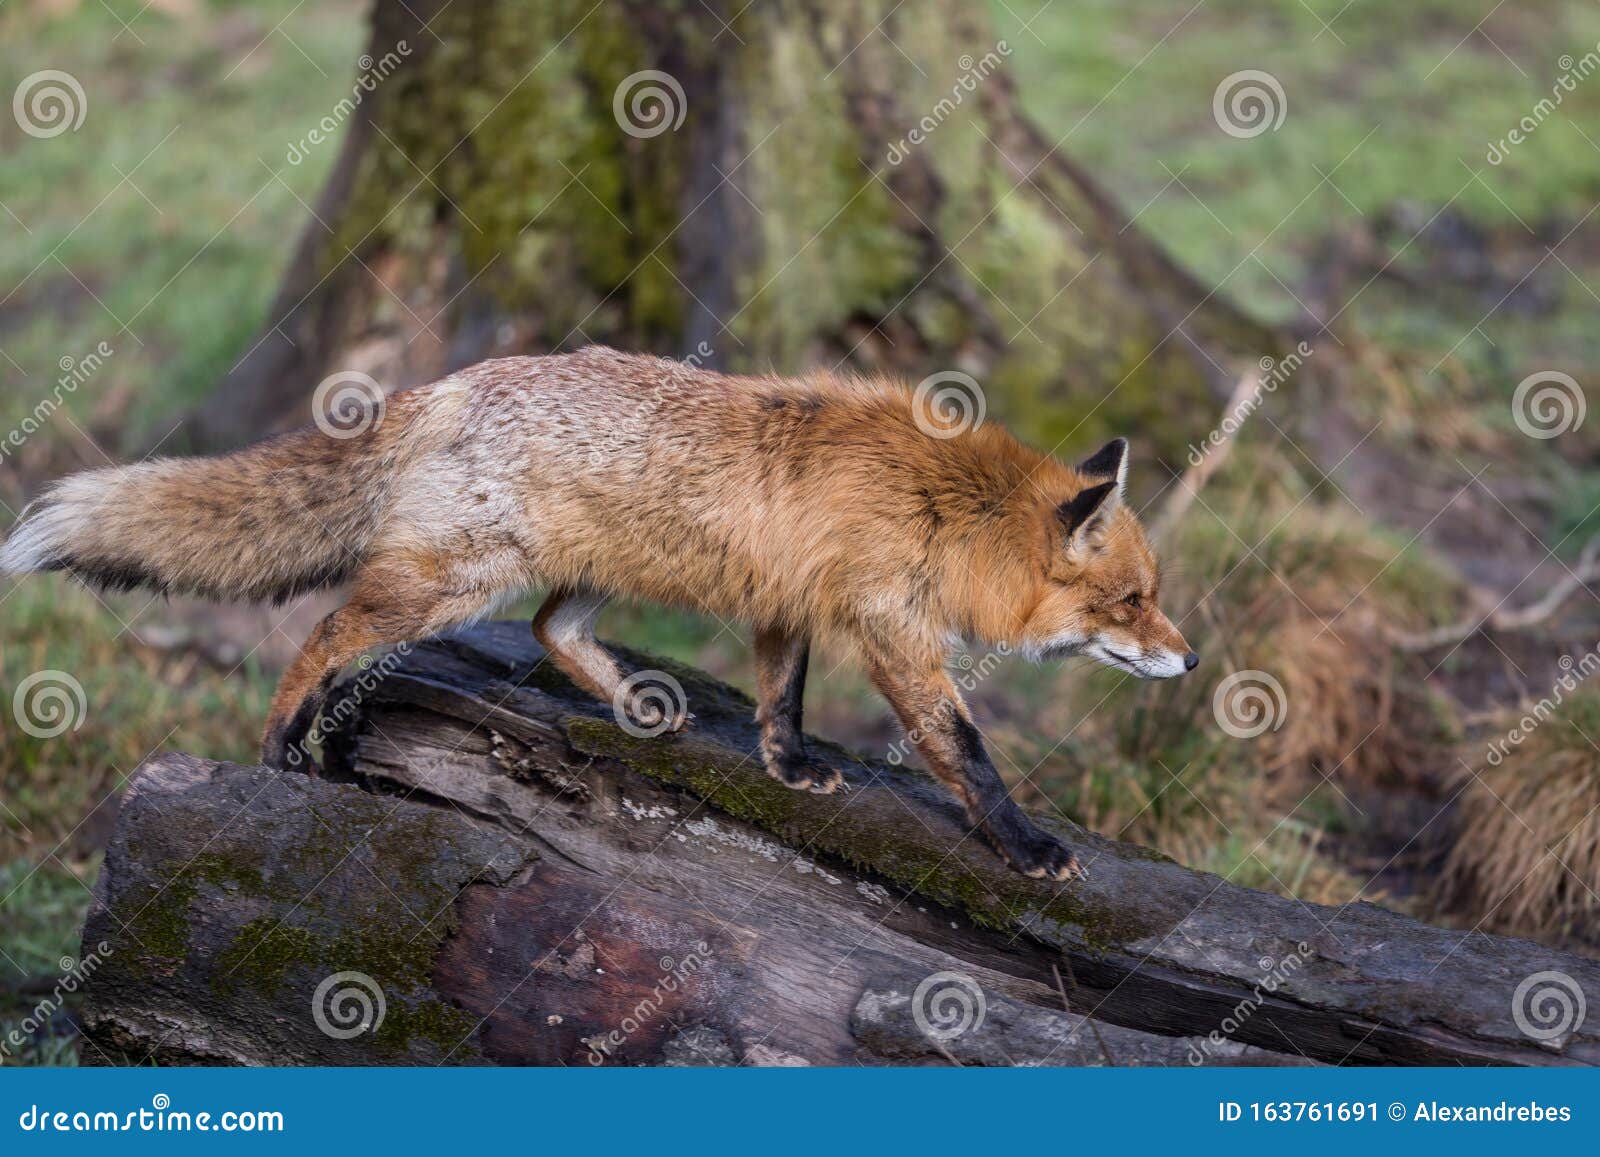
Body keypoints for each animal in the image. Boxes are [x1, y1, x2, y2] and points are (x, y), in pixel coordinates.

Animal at [0, 346, 1197, 879]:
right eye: (1133, 601)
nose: (1188, 662)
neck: (948, 510)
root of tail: (447, 383)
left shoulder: (790, 599)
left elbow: (781, 692)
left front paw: (789, 766)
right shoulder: (893, 631)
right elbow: (967, 750)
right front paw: (1026, 845)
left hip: (588, 569)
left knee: (547, 631)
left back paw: (633, 702)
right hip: (452, 580)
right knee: (330, 631)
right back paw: (284, 736)